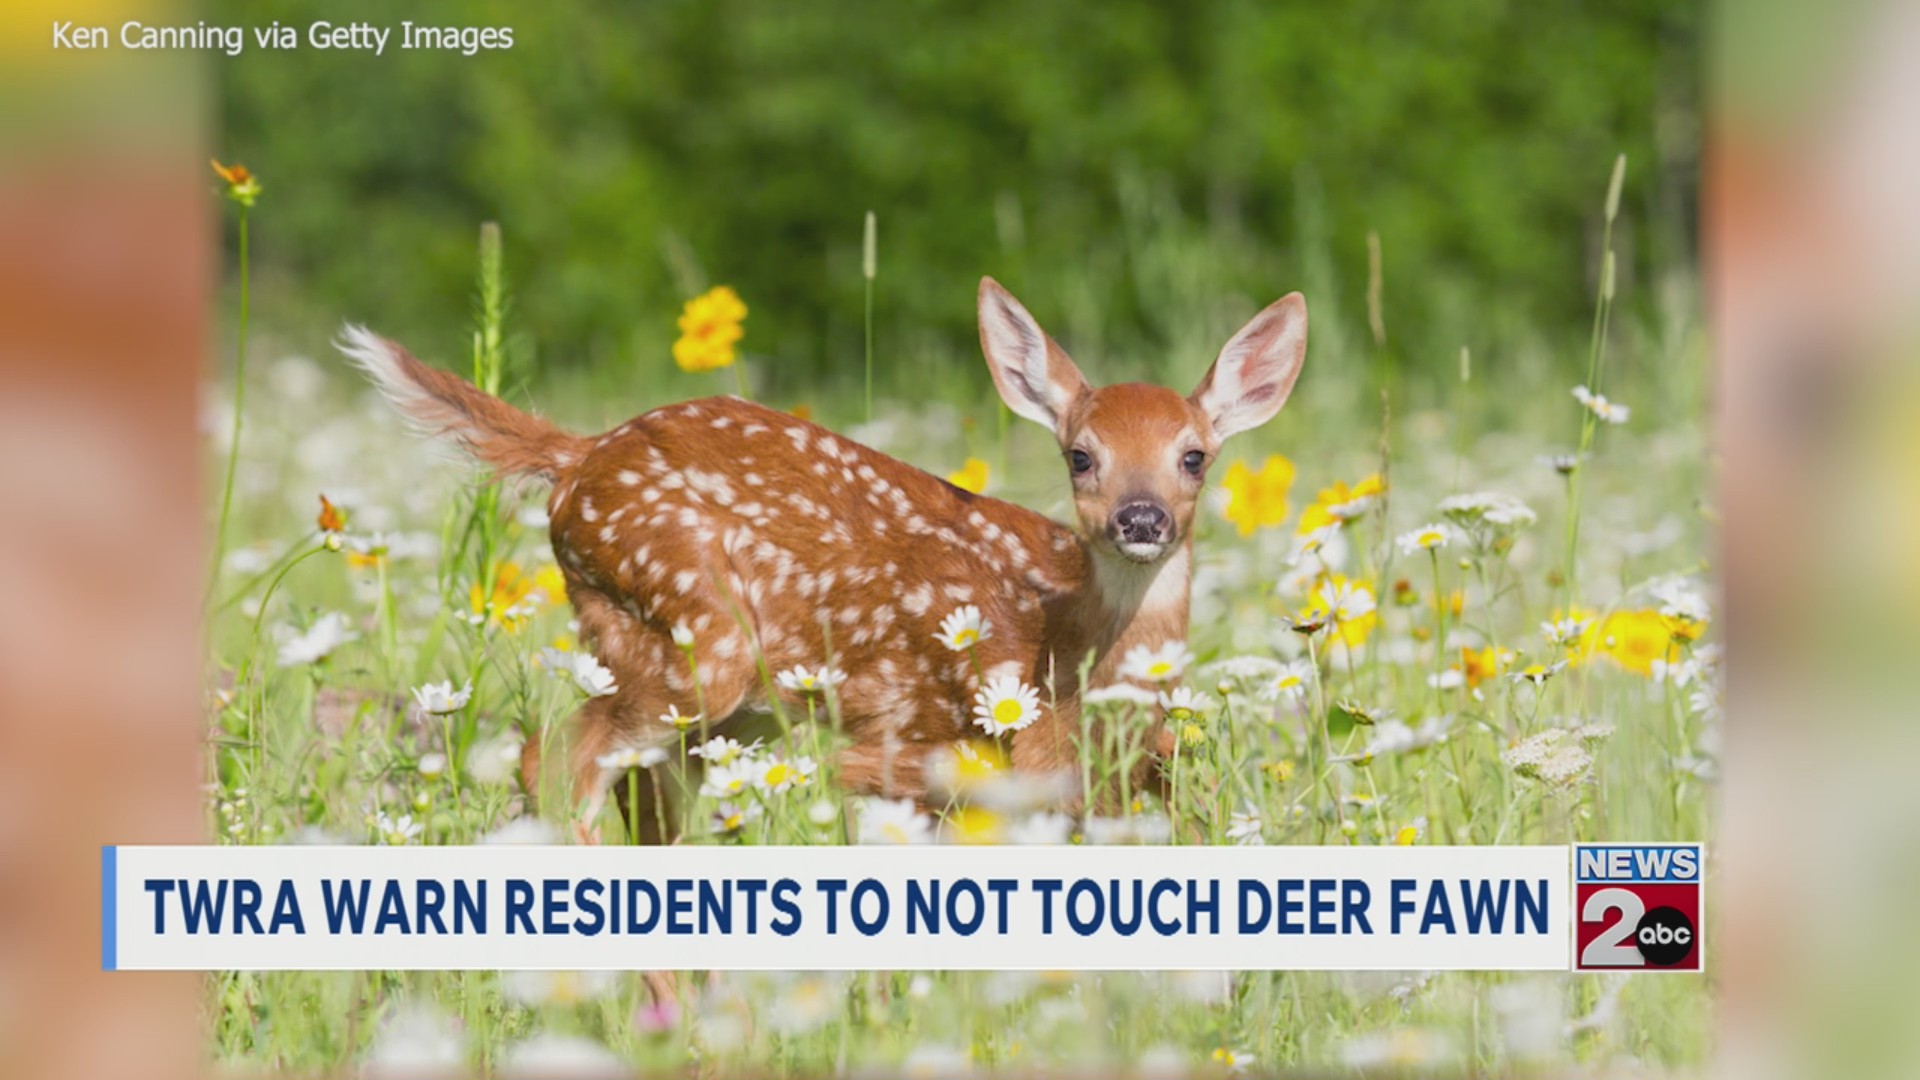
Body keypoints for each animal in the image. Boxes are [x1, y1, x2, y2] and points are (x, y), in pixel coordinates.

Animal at [339, 278, 1307, 840]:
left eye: (1195, 456)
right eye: (1080, 455)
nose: (1142, 518)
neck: (1062, 652)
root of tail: (577, 457)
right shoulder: (913, 756)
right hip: (698, 637)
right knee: (557, 757)